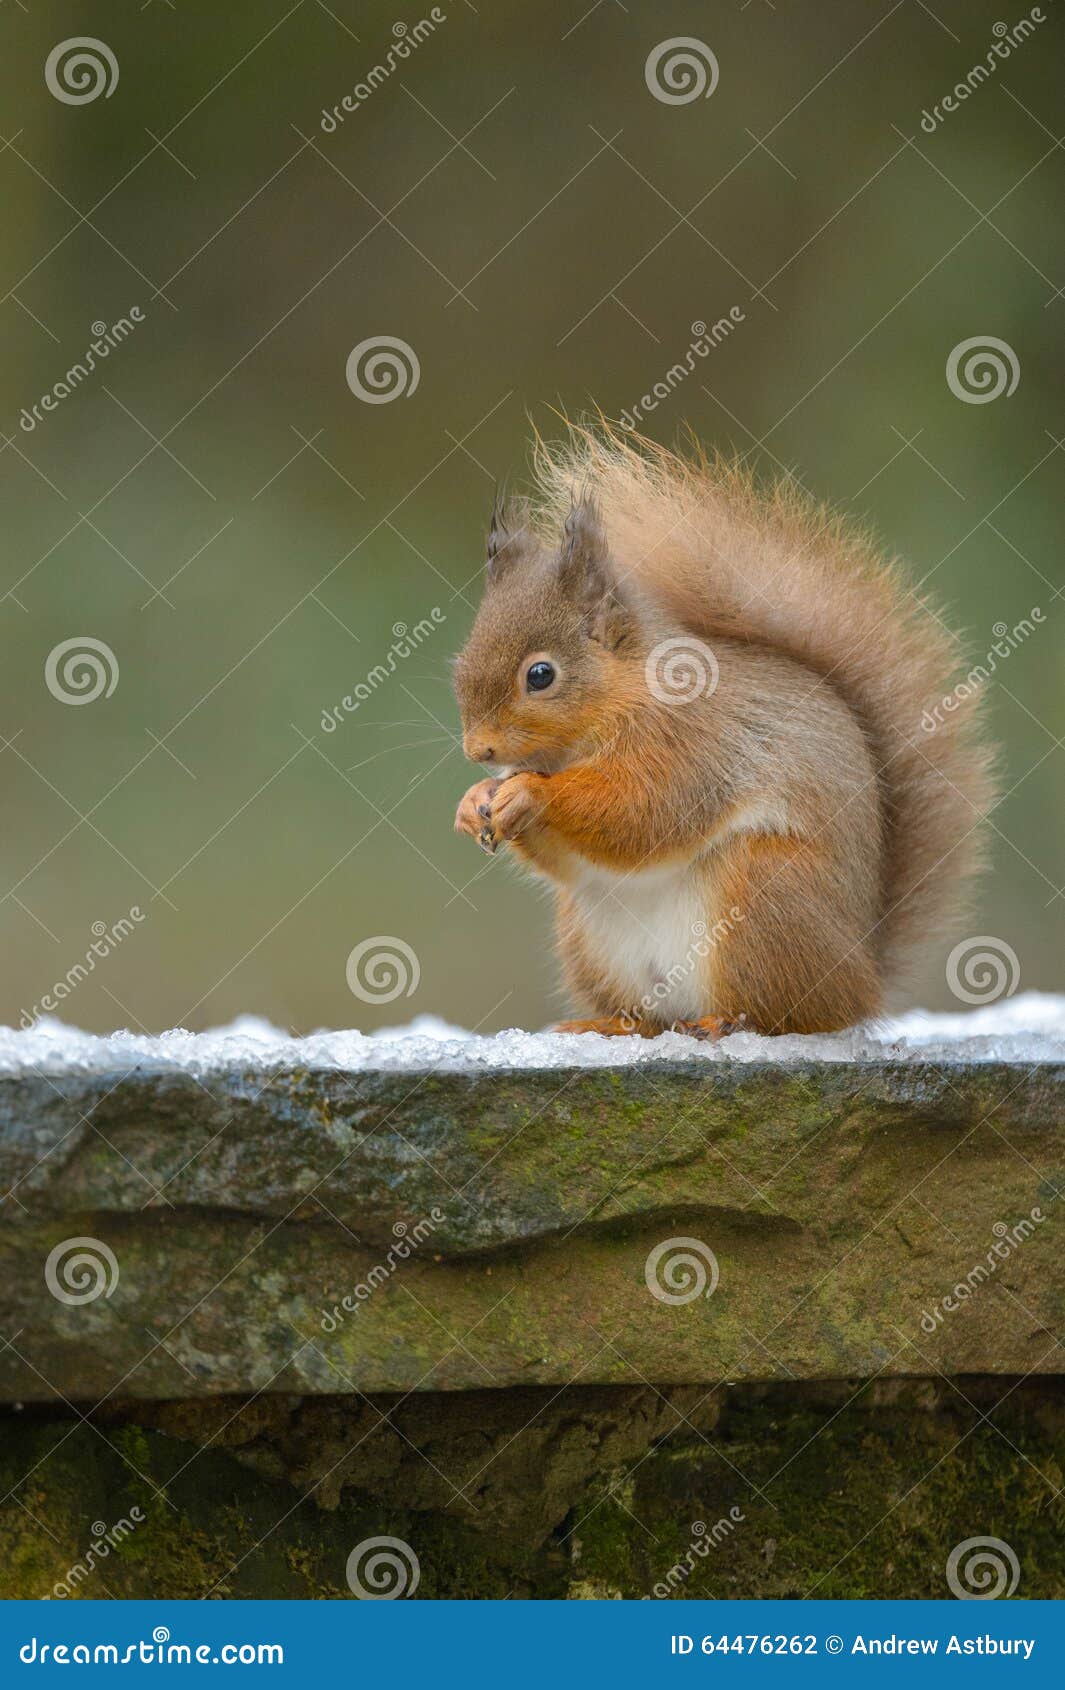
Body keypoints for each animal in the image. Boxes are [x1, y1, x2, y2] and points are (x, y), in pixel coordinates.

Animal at [453, 422, 996, 1038]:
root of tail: (864, 980)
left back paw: (724, 1022)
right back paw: (610, 1025)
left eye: (540, 675)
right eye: (458, 664)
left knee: (788, 1015)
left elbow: (641, 811)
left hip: (762, 896)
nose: (478, 750)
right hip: (590, 935)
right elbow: (575, 856)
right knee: (651, 1017)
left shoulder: (691, 743)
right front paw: (475, 802)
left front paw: (529, 793)